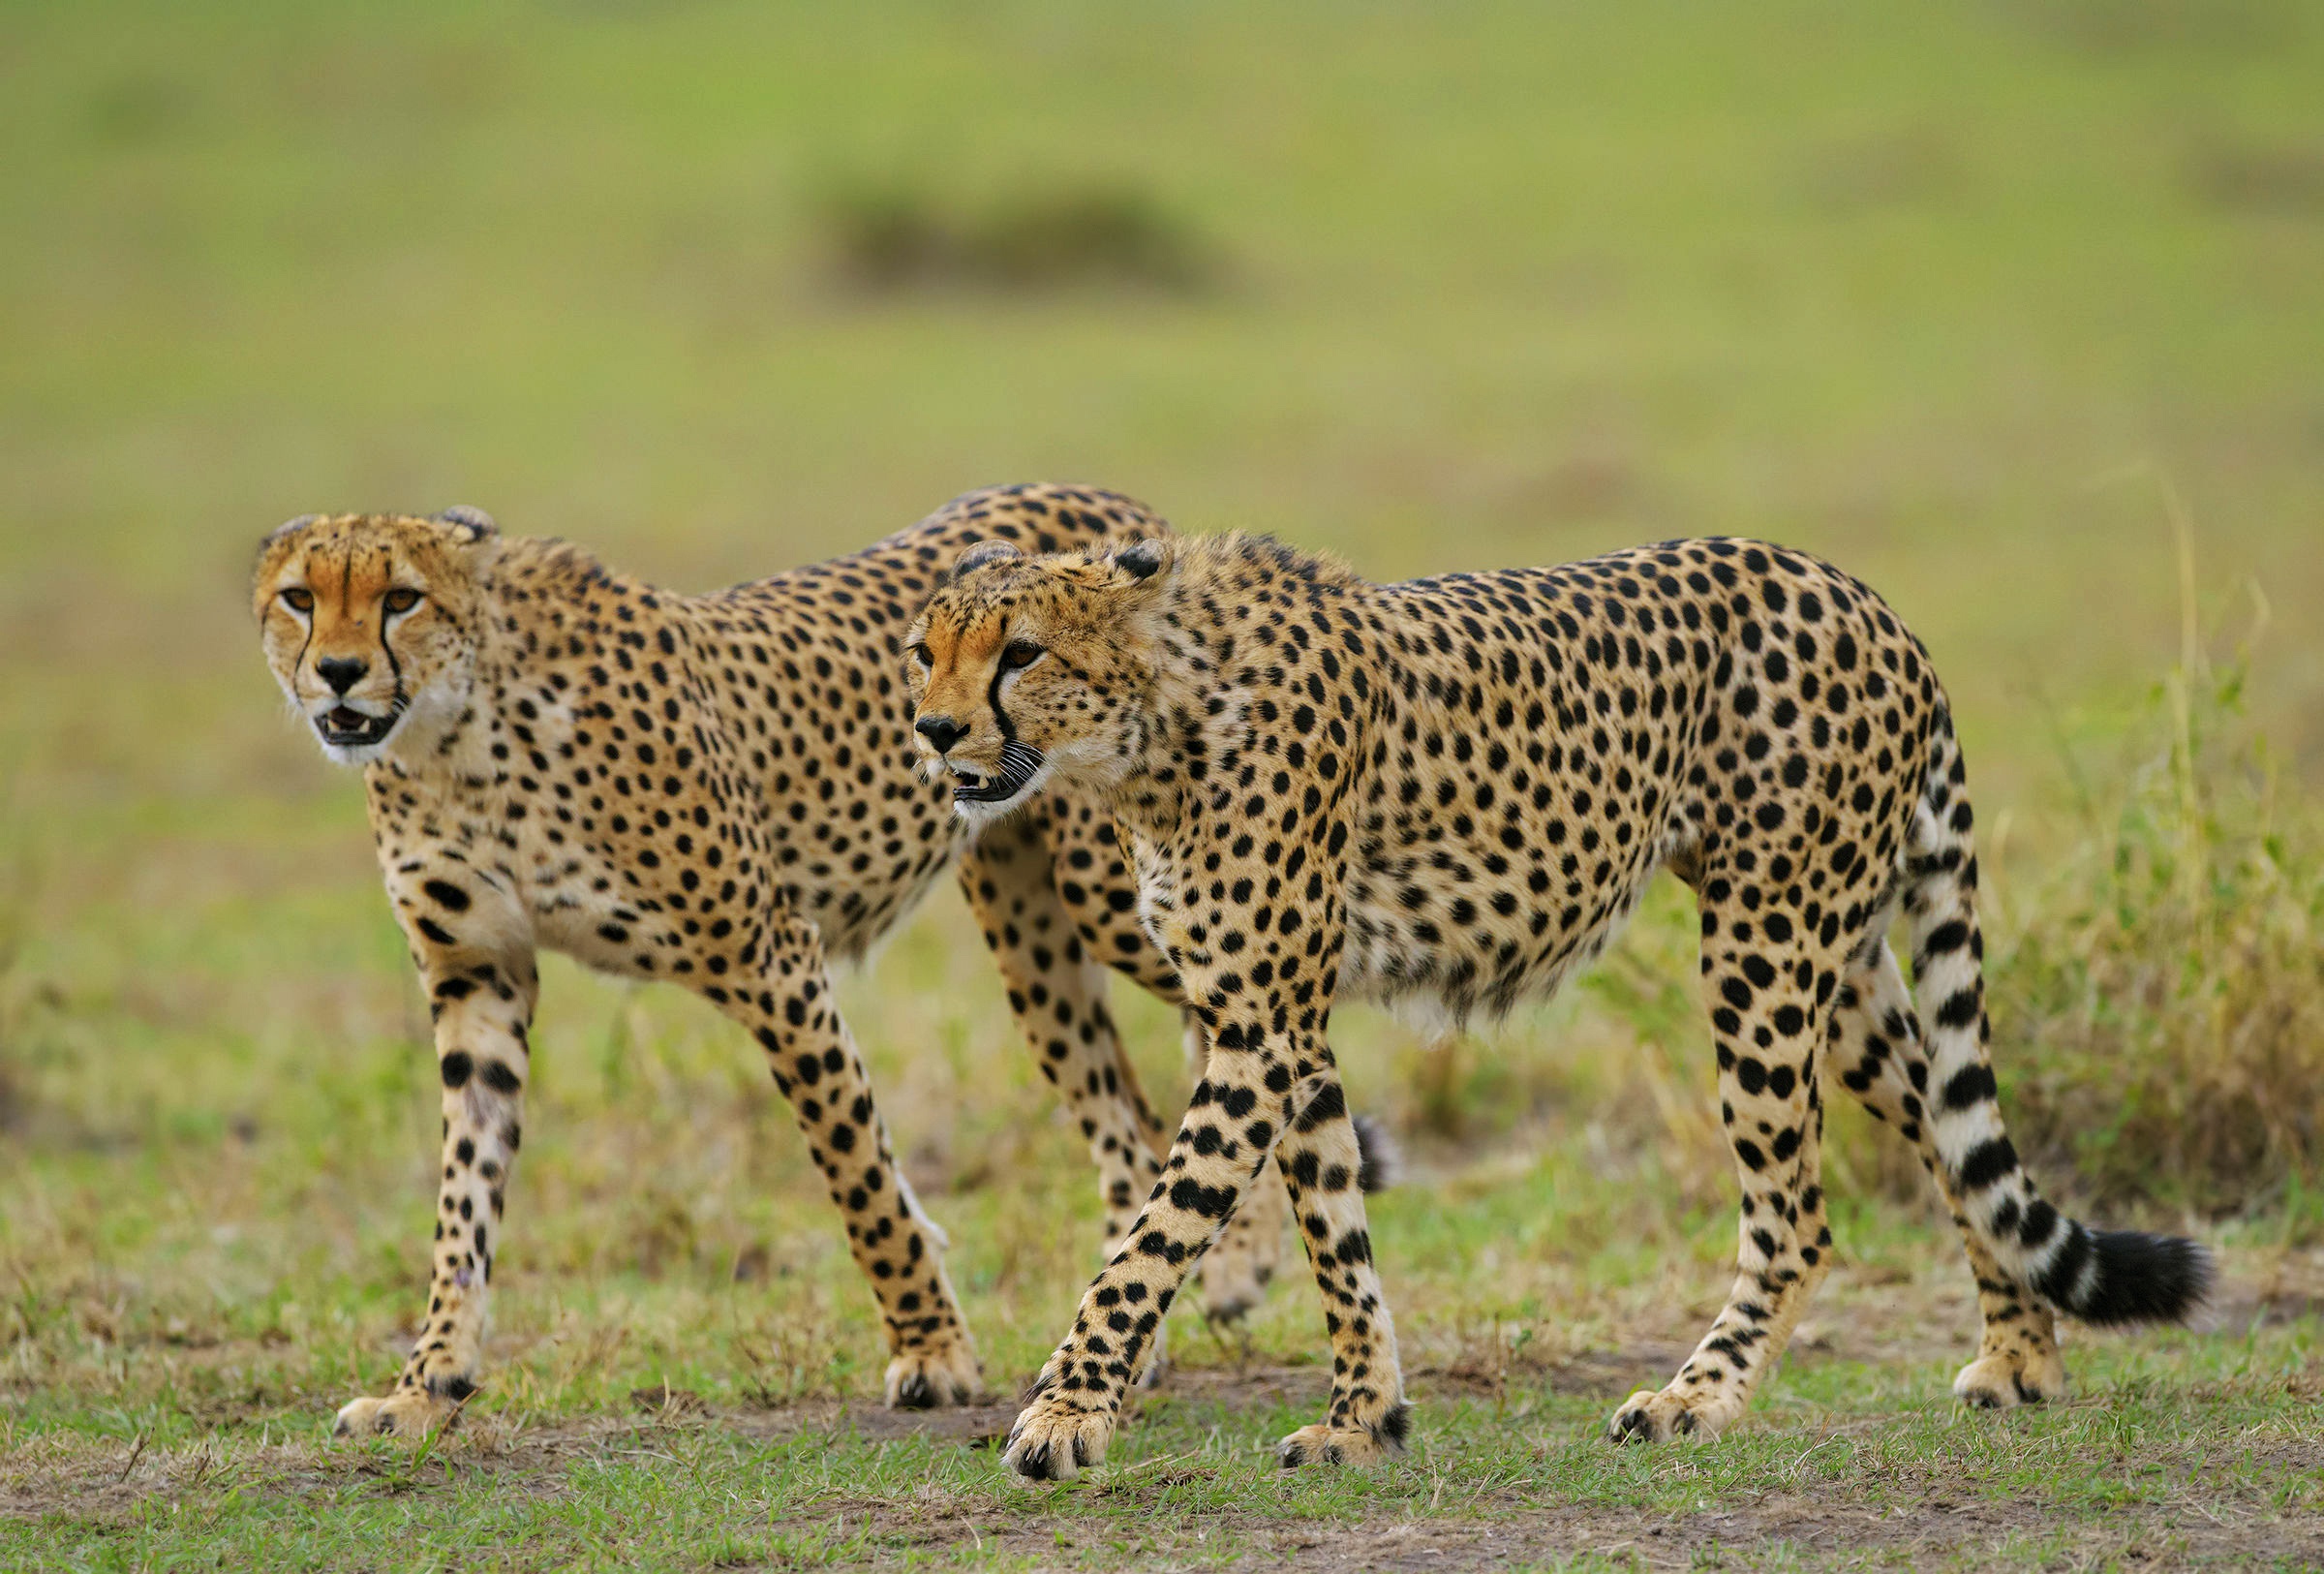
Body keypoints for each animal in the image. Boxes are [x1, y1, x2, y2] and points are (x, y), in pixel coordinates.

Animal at [249, 484, 1355, 1439]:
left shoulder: (767, 955)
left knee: (1256, 1025)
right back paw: (1148, 1341)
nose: (338, 673)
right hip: (1031, 935)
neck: (453, 738)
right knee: (1123, 1106)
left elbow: (854, 1162)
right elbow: (464, 1199)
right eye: (299, 598)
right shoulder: (478, 979)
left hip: (1122, 899)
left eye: (401, 598)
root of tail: (1113, 510)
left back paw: (1241, 1262)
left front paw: (934, 1349)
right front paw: (424, 1384)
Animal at [904, 528, 2212, 1481]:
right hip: (1839, 967)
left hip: (1763, 947)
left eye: (1020, 652)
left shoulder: (1261, 1026)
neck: (1156, 721)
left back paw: (1697, 1397)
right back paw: (2021, 1354)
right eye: (927, 650)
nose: (932, 728)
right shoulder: (1275, 1015)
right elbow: (1332, 1223)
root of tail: (1858, 593)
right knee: (1947, 1123)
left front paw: (1065, 1412)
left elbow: (1152, 1235)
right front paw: (1365, 1416)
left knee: (1797, 1211)